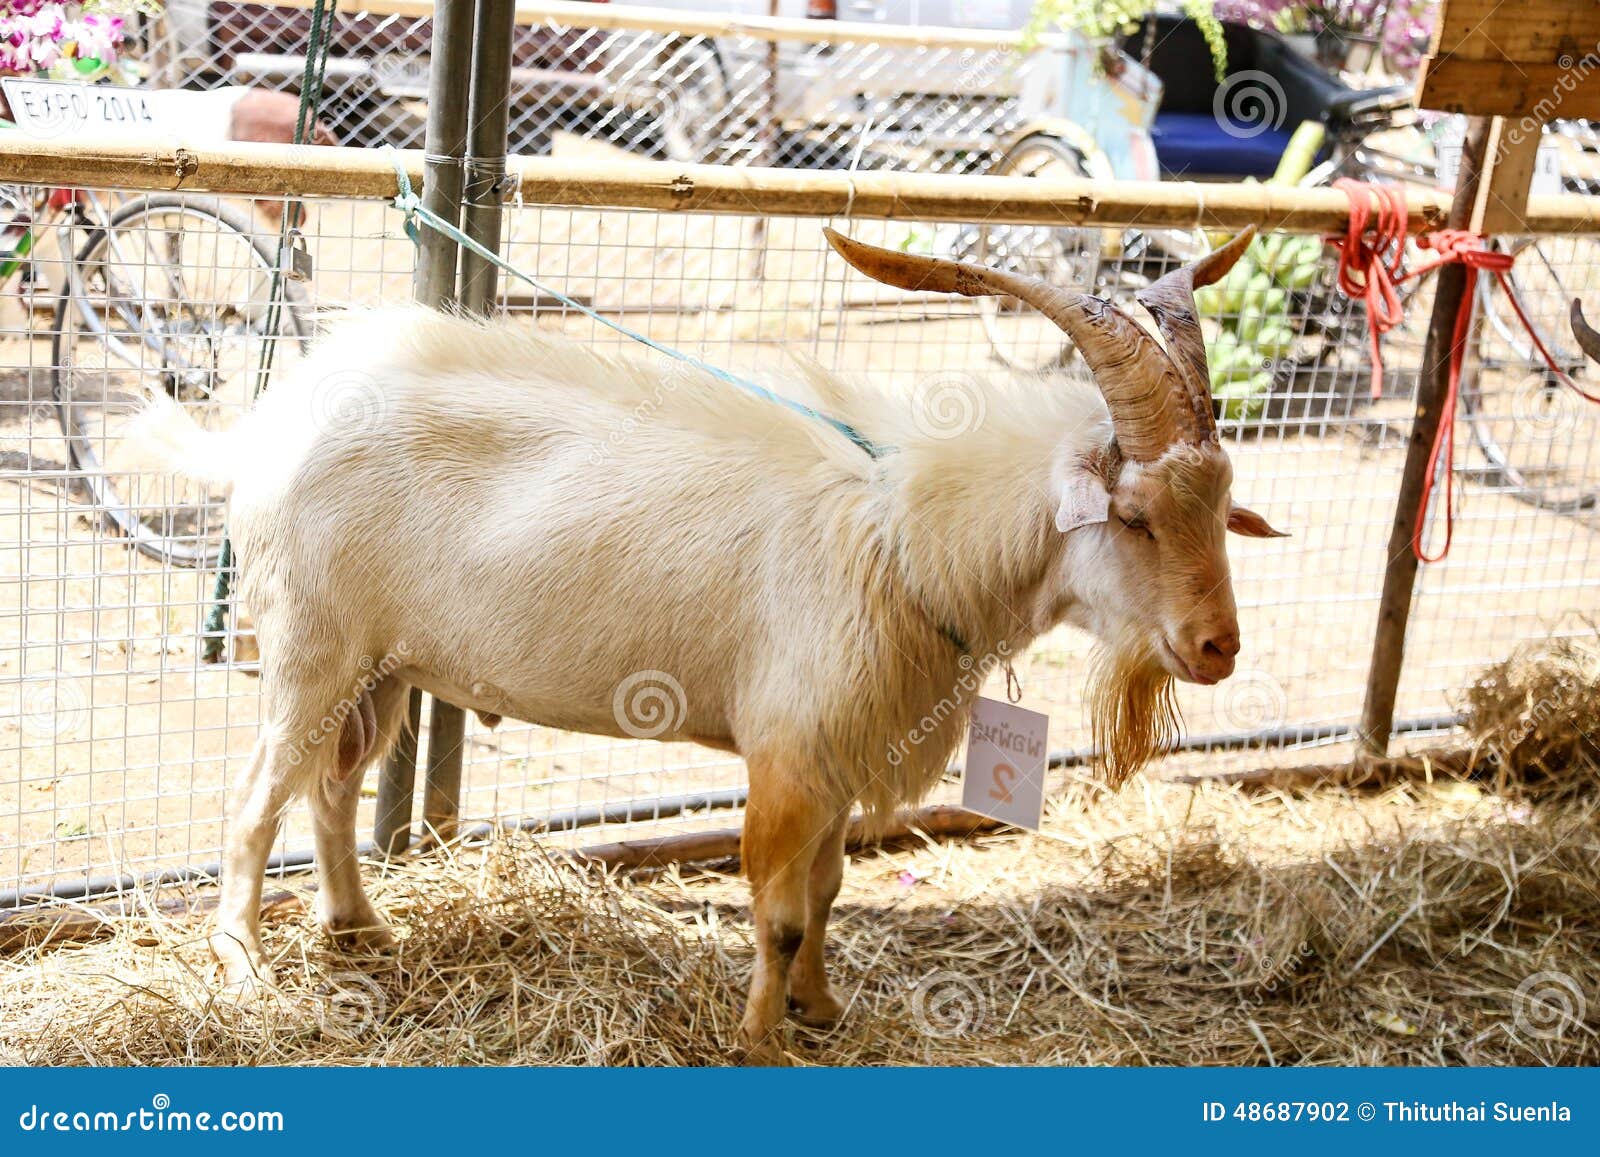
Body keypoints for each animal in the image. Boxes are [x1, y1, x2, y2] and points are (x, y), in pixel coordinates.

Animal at [141, 227, 1281, 1059]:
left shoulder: (840, 753)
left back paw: (358, 927)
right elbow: (776, 910)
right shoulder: (789, 754)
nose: (1217, 647)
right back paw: (245, 964)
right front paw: (759, 1038)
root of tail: (260, 433)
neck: (901, 537)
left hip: (379, 665)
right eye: (1133, 514)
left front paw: (822, 1010)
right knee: (254, 798)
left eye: (1222, 503)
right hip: (310, 644)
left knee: (334, 787)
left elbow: (826, 894)